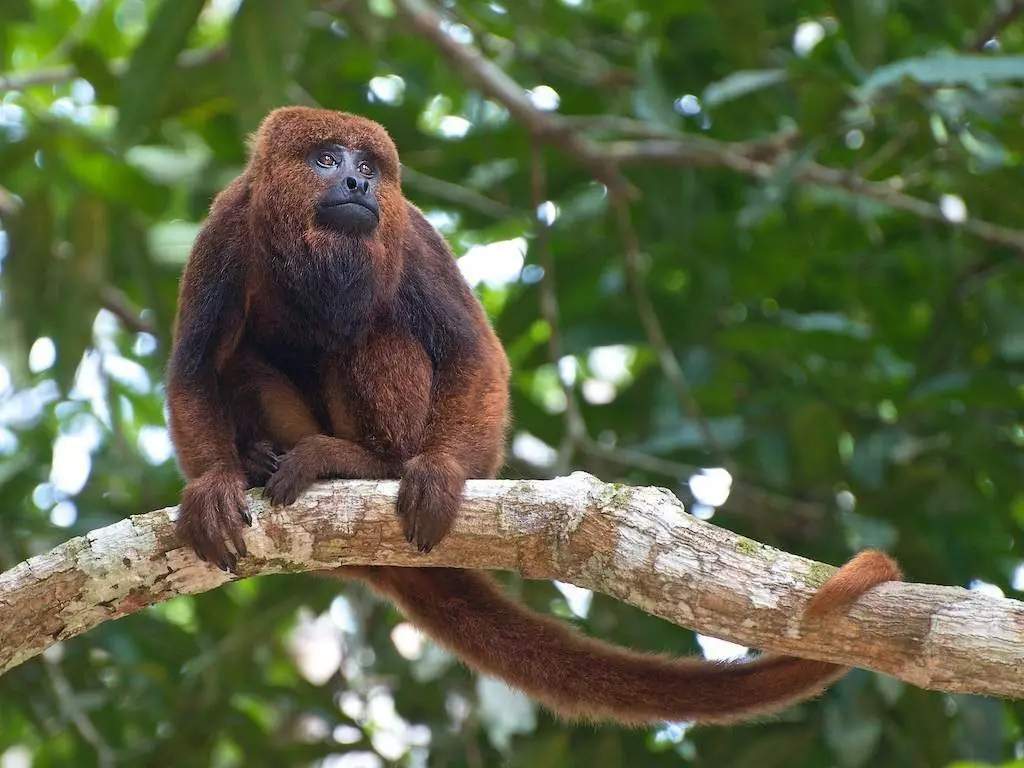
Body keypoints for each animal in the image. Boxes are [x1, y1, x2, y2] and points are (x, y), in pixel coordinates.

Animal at [163, 107, 901, 729]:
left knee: (376, 335)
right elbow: (194, 368)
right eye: (325, 159)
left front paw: (438, 474)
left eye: (367, 166)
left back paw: (365, 462)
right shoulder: (225, 227)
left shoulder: (413, 232)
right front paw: (216, 485)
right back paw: (266, 460)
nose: (356, 181)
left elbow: (474, 353)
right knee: (240, 358)